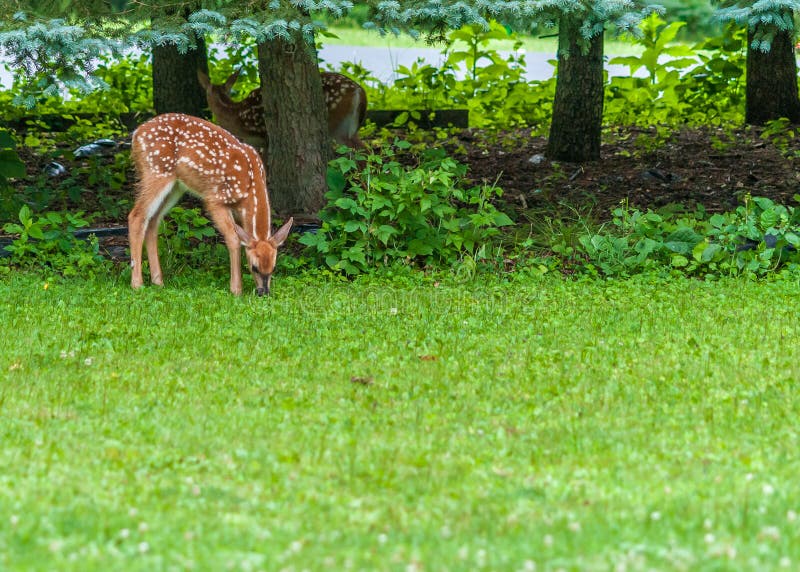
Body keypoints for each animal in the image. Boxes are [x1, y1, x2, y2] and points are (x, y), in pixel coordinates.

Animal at [128, 113, 293, 296]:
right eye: (254, 267)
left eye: (273, 267)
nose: (264, 293)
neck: (250, 186)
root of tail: (136, 134)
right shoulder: (215, 199)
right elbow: (233, 238)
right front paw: (236, 289)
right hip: (156, 172)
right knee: (136, 216)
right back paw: (137, 284)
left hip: (175, 186)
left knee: (153, 220)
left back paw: (158, 282)